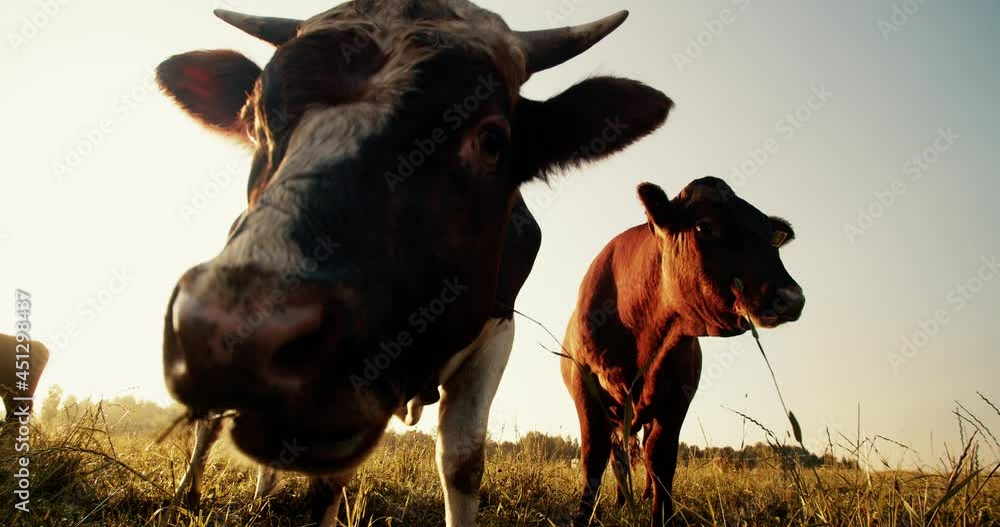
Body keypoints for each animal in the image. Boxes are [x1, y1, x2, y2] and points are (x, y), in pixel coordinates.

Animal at [155, 2, 672, 525]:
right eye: (253, 118)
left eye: (492, 139)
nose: (239, 336)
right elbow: (328, 481)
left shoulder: (498, 328)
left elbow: (463, 460)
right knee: (209, 425)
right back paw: (188, 494)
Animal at [561, 177, 805, 526]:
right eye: (705, 226)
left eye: (767, 234)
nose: (792, 296)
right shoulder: (586, 384)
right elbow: (595, 456)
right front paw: (585, 515)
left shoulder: (677, 395)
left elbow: (660, 457)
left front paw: (660, 513)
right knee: (618, 455)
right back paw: (622, 499)